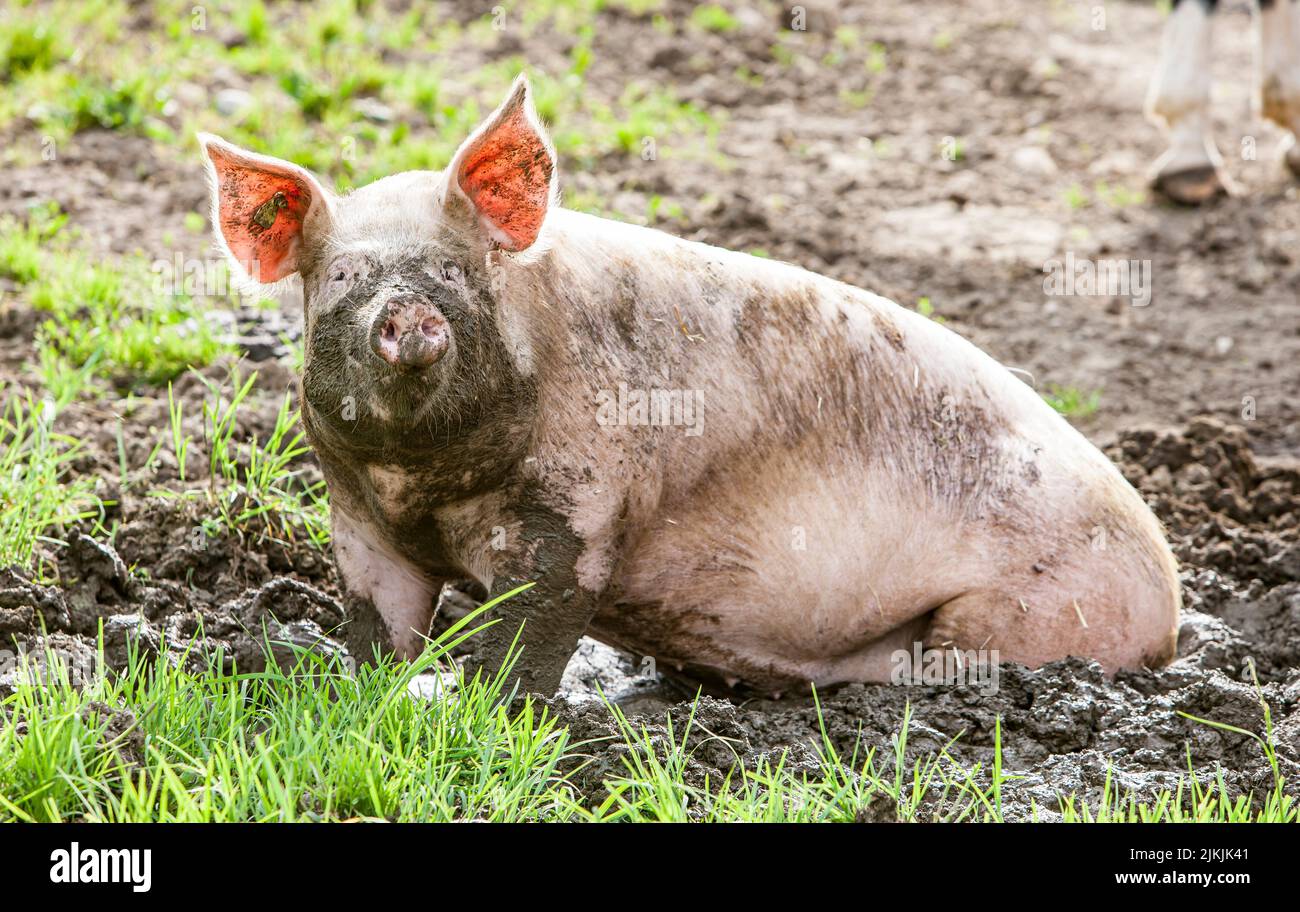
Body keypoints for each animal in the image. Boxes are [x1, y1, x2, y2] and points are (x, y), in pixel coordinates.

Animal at [199, 75, 1180, 697]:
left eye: (453, 271)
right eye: (342, 278)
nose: (406, 312)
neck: (421, 487)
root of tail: (1171, 602)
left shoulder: (584, 504)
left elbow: (534, 625)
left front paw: (487, 713)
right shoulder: (359, 519)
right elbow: (378, 629)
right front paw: (367, 696)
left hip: (1031, 607)